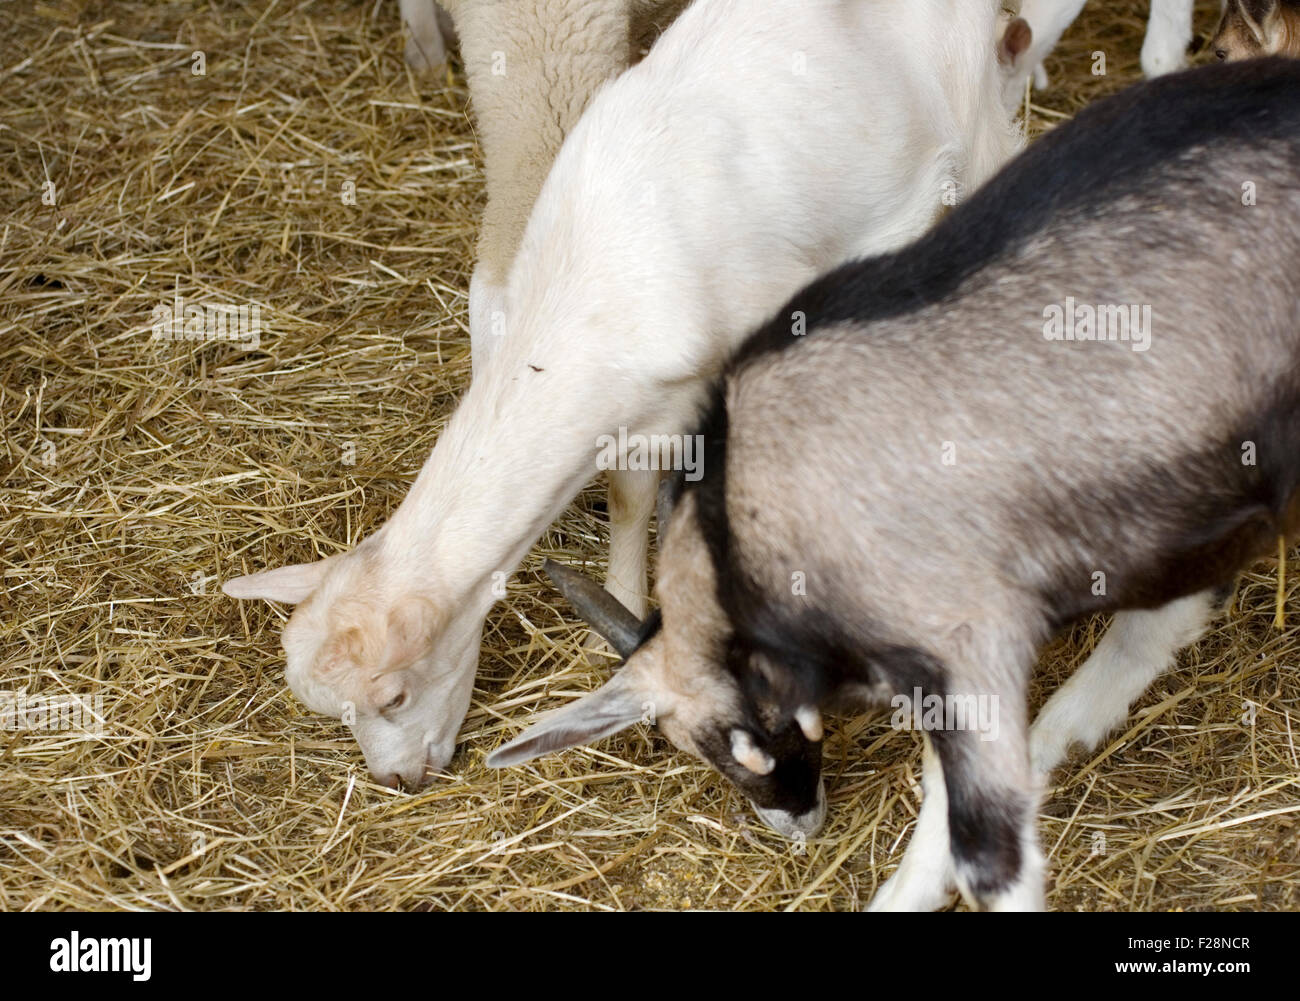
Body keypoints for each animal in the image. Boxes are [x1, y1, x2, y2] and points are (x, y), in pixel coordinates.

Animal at [223, 0, 1025, 790]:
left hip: (974, 111)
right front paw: (627, 601)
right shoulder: (645, 407)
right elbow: (630, 496)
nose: (399, 782)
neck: (593, 286)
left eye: (394, 694)